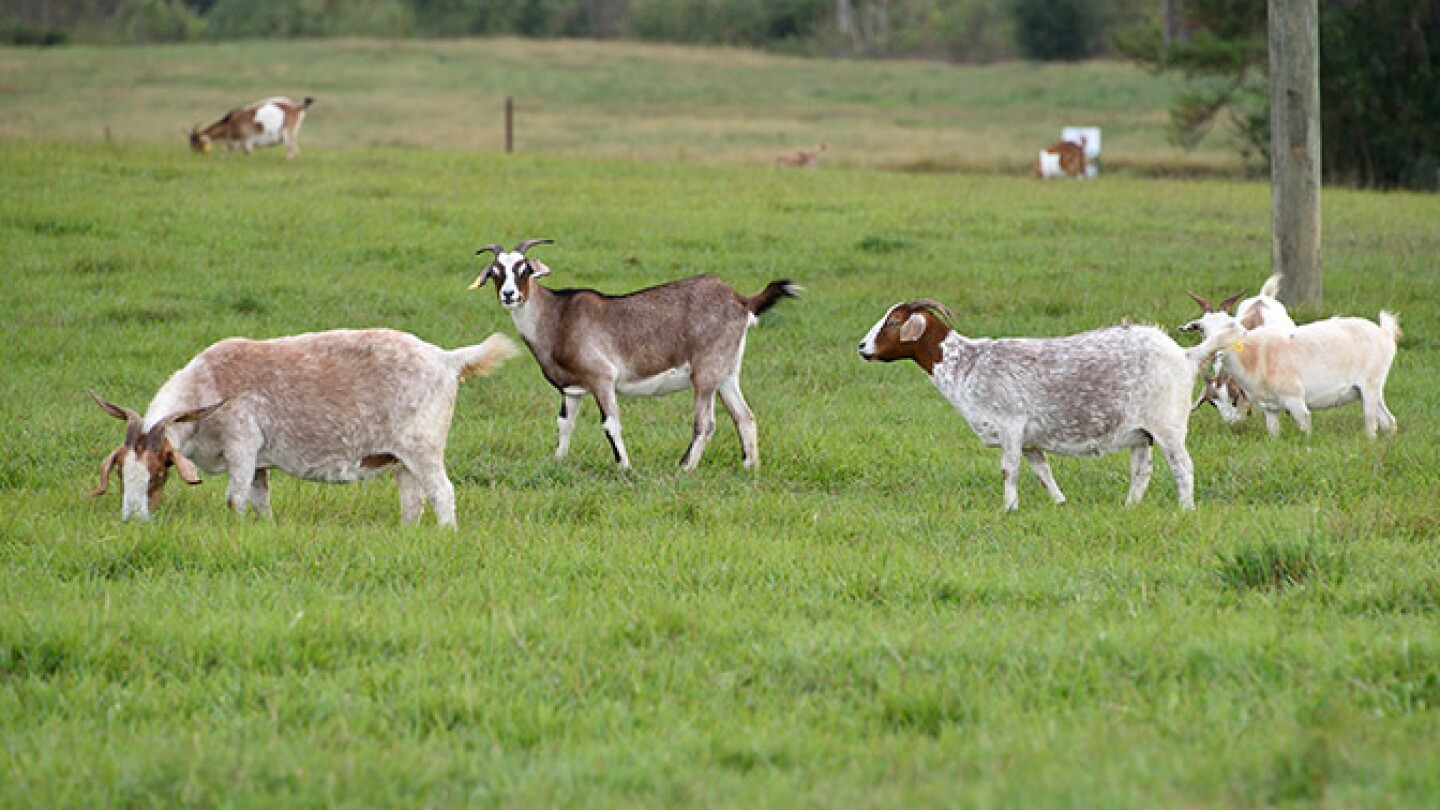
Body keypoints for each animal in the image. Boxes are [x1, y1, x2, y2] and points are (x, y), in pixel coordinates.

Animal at [91, 329, 517, 526]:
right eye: (122, 475)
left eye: (158, 474)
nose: (133, 519)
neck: (206, 385)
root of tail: (447, 359)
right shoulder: (259, 461)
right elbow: (260, 498)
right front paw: (264, 528)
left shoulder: (242, 444)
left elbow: (235, 497)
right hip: (402, 458)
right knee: (413, 499)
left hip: (423, 449)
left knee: (443, 494)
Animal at [469, 239, 799, 471]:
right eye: (496, 273)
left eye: (523, 269)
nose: (509, 295)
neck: (558, 316)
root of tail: (740, 300)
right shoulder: (572, 390)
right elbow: (564, 424)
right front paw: (557, 462)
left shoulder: (601, 378)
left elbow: (610, 423)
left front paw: (625, 468)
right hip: (727, 374)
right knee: (745, 416)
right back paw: (749, 467)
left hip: (704, 374)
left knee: (706, 424)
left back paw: (685, 469)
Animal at [859, 300, 1234, 510]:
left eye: (894, 322)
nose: (862, 346)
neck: (966, 363)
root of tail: (1186, 355)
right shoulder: (1029, 439)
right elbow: (1042, 472)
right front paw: (1060, 502)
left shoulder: (1010, 425)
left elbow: (1008, 469)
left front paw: (1009, 509)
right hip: (1141, 433)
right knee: (1142, 471)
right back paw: (1130, 507)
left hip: (1168, 425)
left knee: (1182, 466)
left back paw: (1186, 509)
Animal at [1178, 305, 1400, 437]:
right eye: (1202, 329)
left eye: (1232, 326)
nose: (1215, 352)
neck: (1254, 356)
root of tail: (1385, 332)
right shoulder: (1270, 408)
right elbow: (1273, 433)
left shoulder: (1295, 401)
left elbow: (1306, 428)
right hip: (1367, 391)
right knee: (1389, 421)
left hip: (1370, 384)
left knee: (1371, 424)